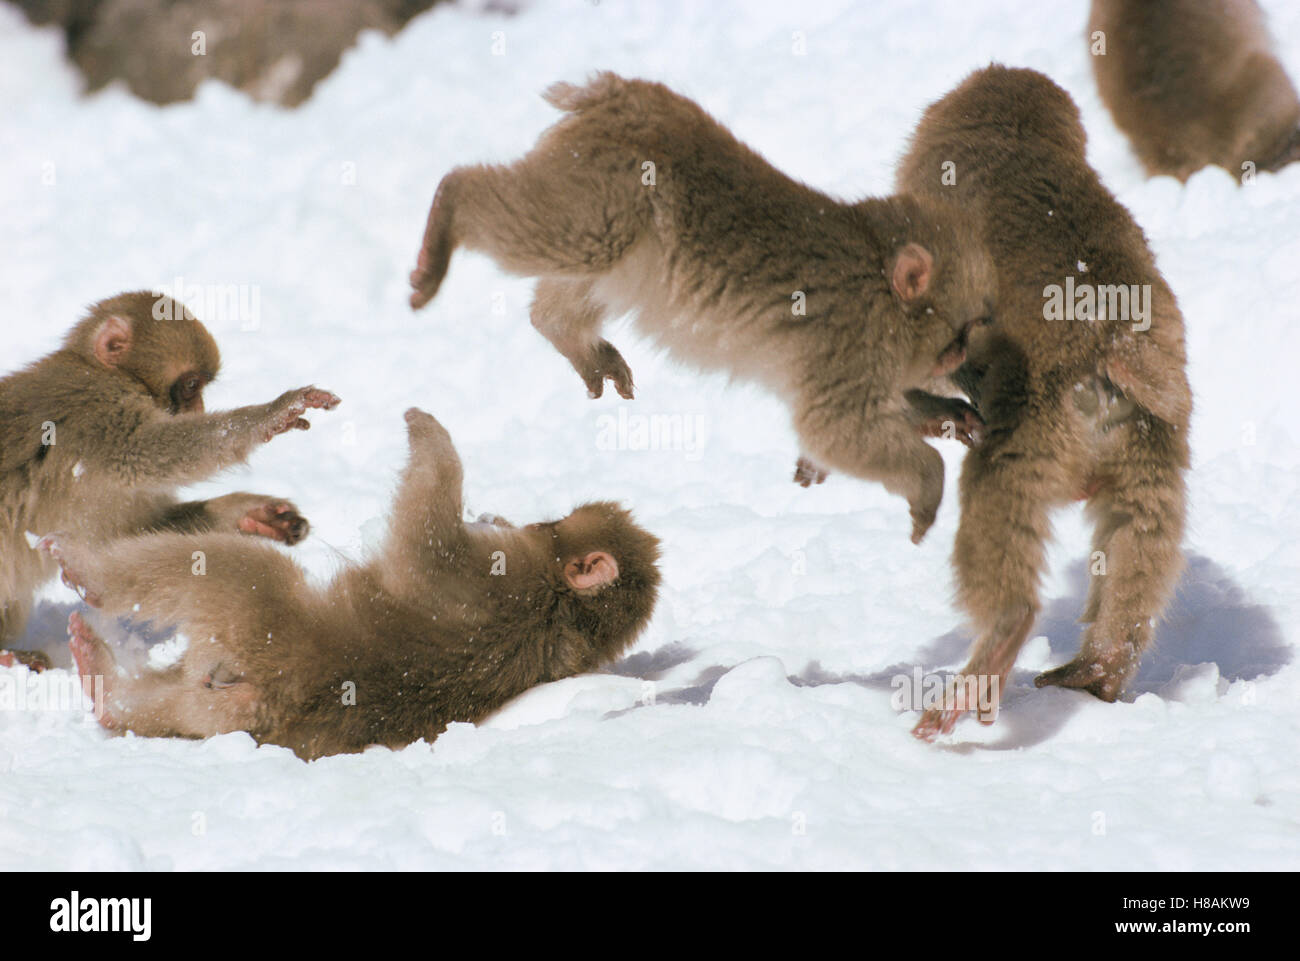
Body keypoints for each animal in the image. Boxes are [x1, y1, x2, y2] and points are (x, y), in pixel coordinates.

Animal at [0, 291, 340, 670]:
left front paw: (251, 515)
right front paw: (272, 412)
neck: (103, 370)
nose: (200, 409)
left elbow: (126, 537)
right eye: (191, 386)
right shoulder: (102, 413)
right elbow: (151, 451)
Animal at [42, 407, 662, 761]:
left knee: (233, 568)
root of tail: (283, 703)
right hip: (227, 706)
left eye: (557, 526)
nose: (535, 521)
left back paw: (87, 574)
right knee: (181, 706)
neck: (562, 606)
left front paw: (428, 432)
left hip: (256, 625)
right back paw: (113, 698)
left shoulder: (488, 572)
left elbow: (428, 520)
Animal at [408, 72, 996, 544]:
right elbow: (834, 429)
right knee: (576, 237)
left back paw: (567, 334)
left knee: (591, 273)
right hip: (610, 186)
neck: (880, 291)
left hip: (618, 210)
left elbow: (877, 412)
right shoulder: (847, 345)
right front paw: (927, 483)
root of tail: (618, 95)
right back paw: (450, 203)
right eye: (960, 334)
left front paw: (946, 415)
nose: (964, 363)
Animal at [895, 65, 1192, 738]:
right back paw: (1097, 670)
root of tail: (1110, 340)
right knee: (1140, 544)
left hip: (1034, 429)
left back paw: (984, 666)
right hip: (1148, 439)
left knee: (1001, 518)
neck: (1014, 132)